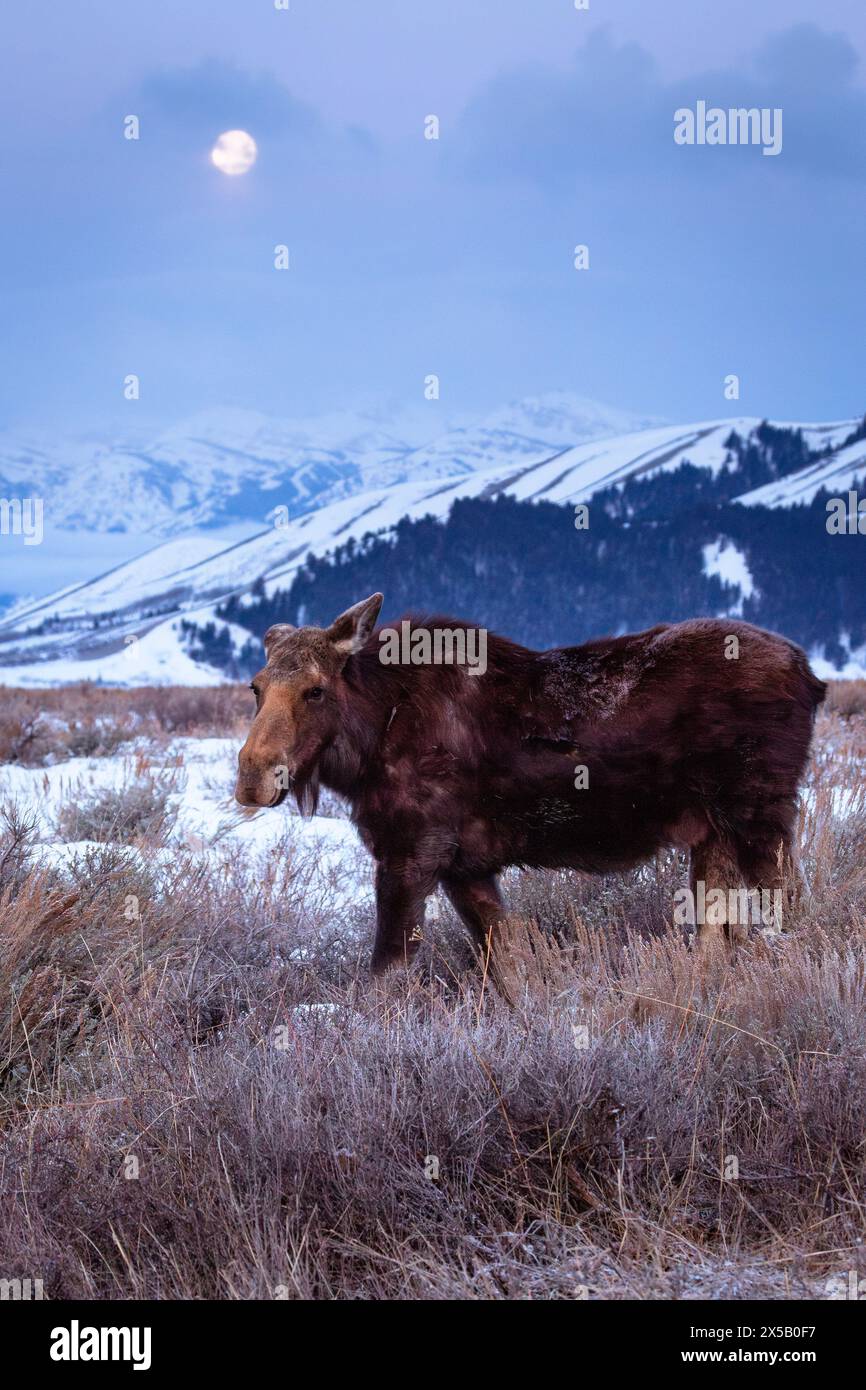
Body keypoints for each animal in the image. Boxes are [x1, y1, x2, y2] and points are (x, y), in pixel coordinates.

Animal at [235, 593, 825, 975]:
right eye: (256, 686)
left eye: (314, 690)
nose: (252, 775)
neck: (370, 740)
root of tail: (812, 675)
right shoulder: (465, 865)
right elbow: (510, 969)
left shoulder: (412, 851)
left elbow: (387, 978)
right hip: (713, 830)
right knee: (717, 936)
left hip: (761, 815)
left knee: (797, 913)